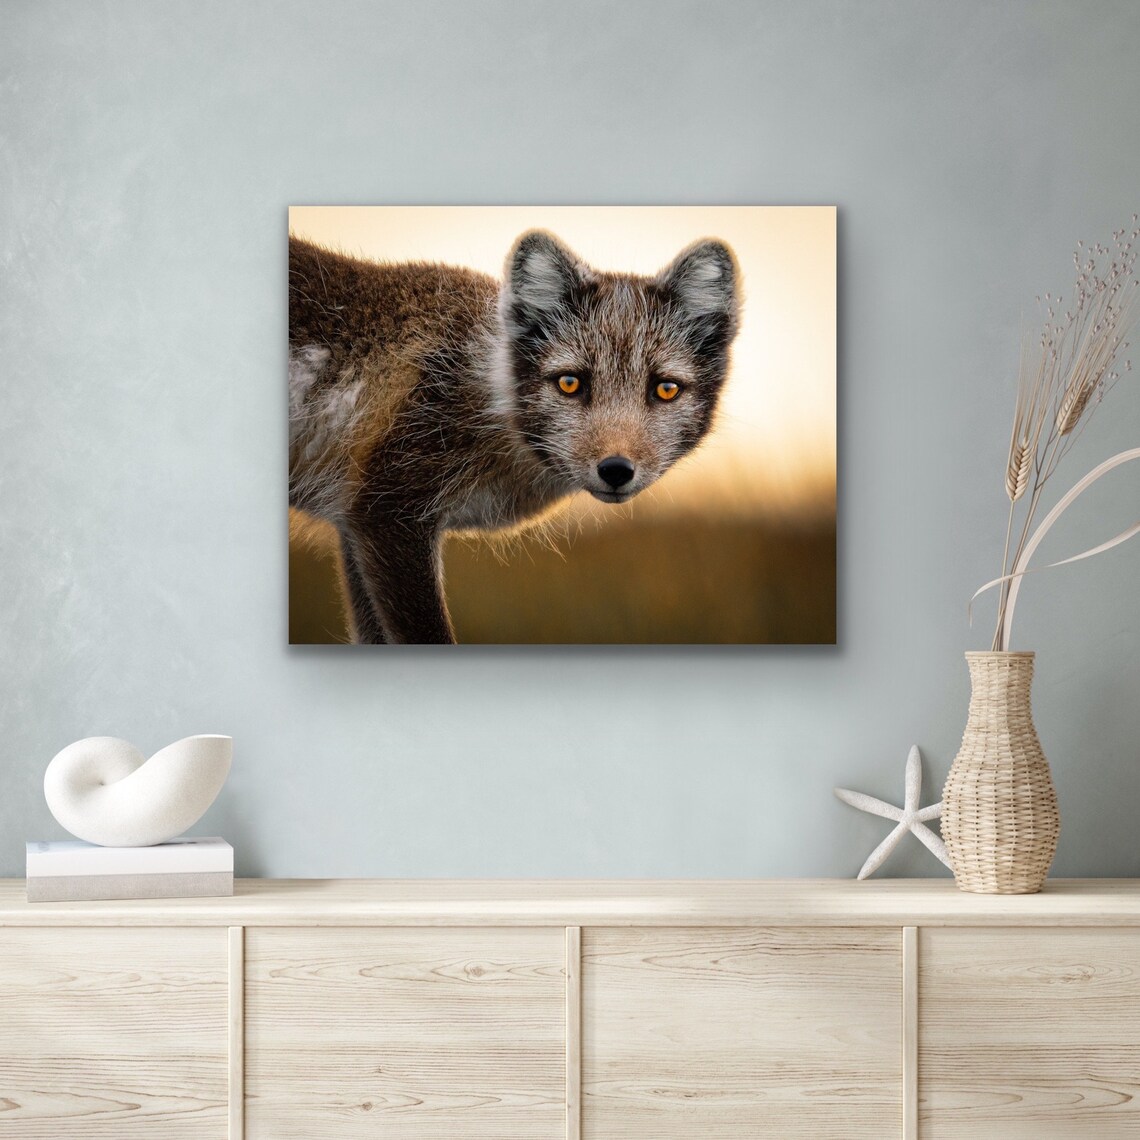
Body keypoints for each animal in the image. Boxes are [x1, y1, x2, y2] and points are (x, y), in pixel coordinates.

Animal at [288, 229, 741, 643]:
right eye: (570, 383)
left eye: (665, 389)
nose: (615, 470)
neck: (485, 386)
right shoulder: (386, 512)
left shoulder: (353, 524)